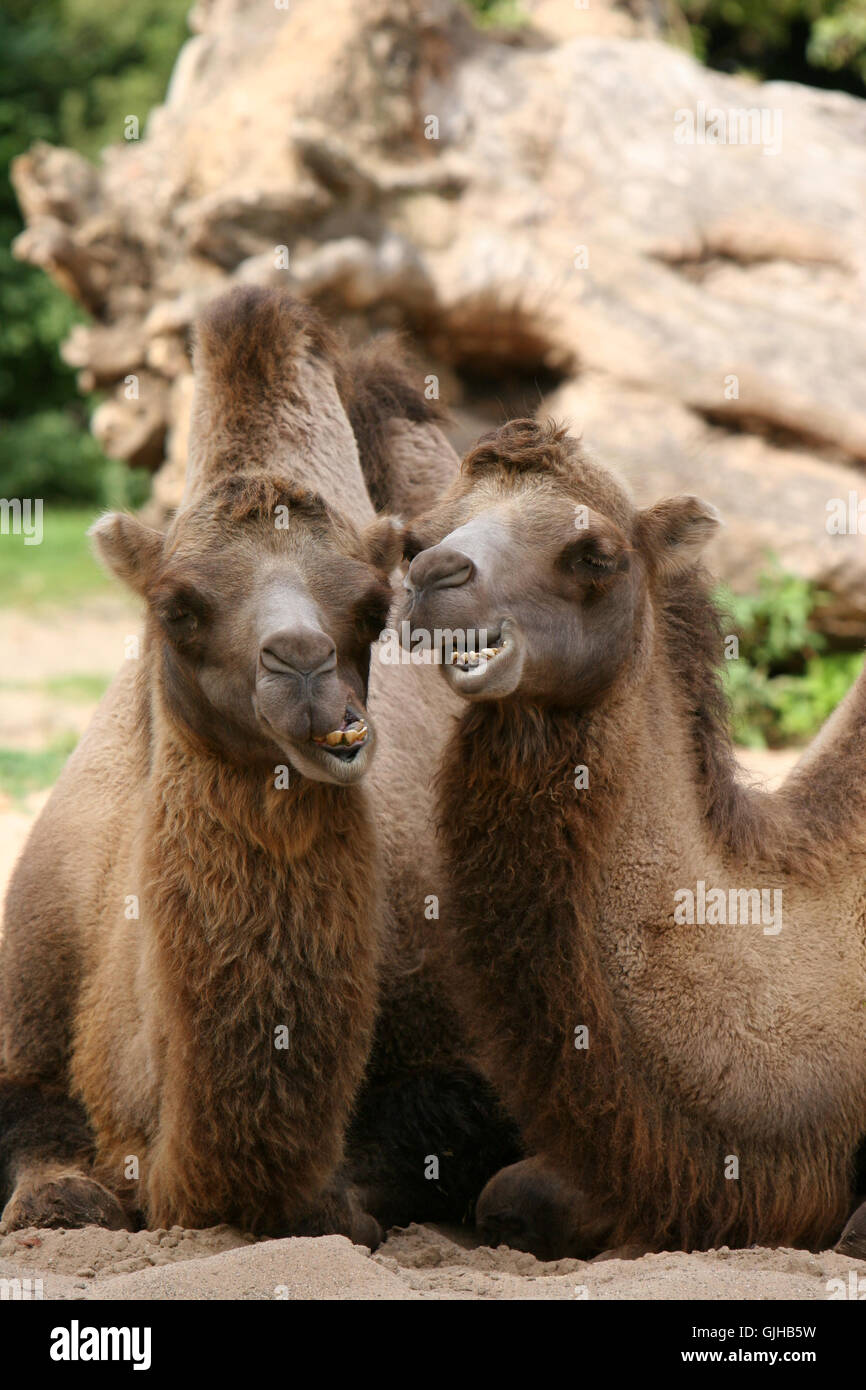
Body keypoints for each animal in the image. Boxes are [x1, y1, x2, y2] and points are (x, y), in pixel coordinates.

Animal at [0, 286, 516, 1237]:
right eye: (176, 606)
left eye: (373, 608)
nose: (303, 670)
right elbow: (46, 1160)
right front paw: (62, 1195)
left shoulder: (466, 1073)